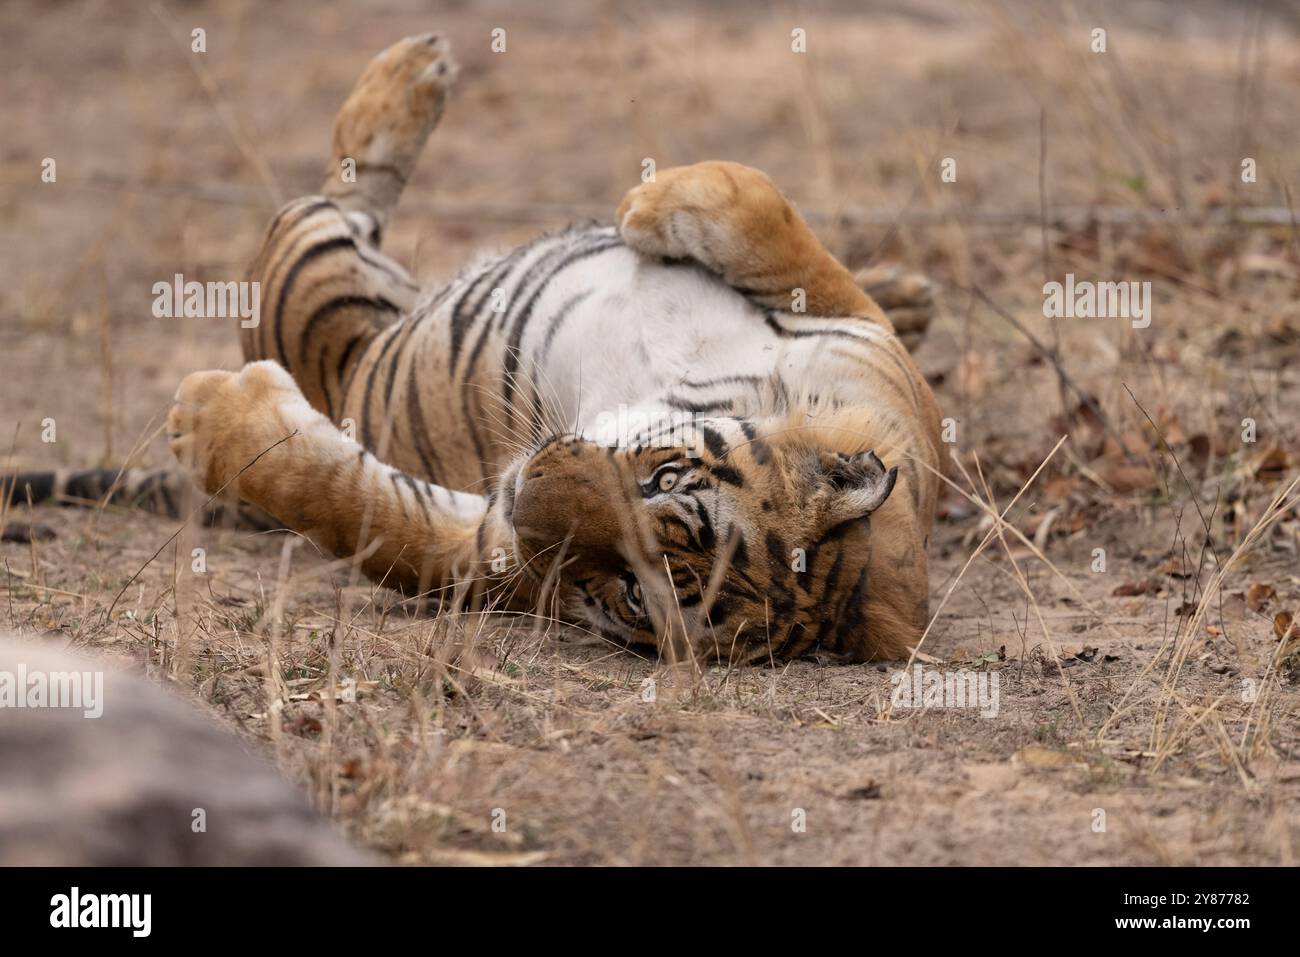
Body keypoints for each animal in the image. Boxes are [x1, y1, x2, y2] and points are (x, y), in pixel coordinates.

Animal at [14, 33, 944, 664]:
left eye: (635, 593)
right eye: (664, 476)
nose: (528, 491)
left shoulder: (487, 547)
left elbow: (353, 505)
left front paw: (209, 417)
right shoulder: (862, 349)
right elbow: (759, 203)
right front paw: (646, 204)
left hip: (307, 282)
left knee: (336, 199)